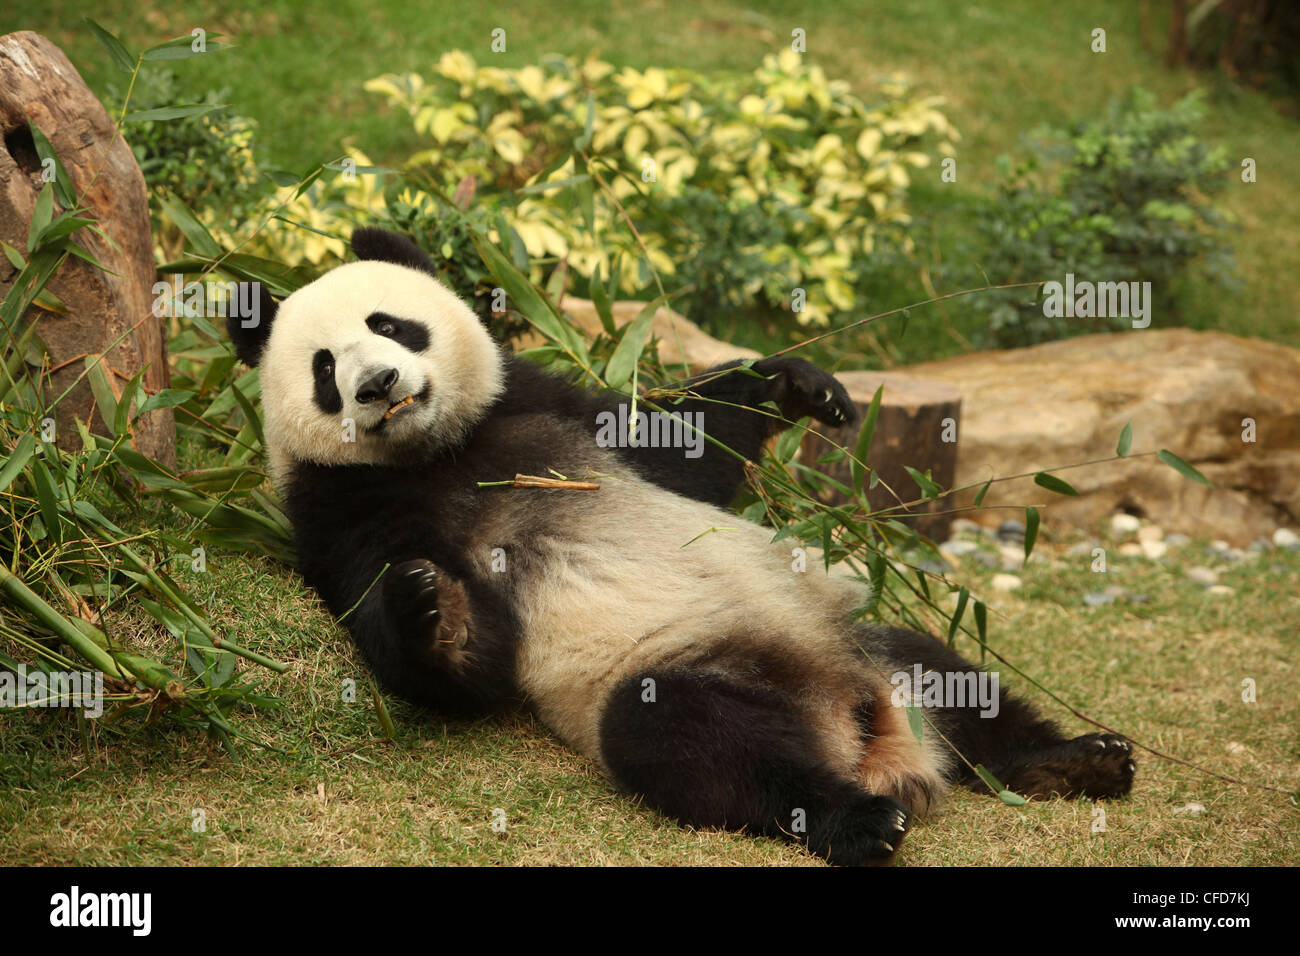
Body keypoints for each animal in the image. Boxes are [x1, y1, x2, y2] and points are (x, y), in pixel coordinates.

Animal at [228, 227, 1136, 865]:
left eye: (391, 324)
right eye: (324, 368)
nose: (378, 385)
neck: (439, 450)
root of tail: (867, 734)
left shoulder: (542, 405)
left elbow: (678, 444)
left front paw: (796, 386)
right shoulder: (339, 507)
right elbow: (456, 662)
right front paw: (426, 603)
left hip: (853, 636)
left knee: (953, 678)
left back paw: (1074, 760)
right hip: (689, 672)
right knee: (694, 743)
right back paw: (857, 819)